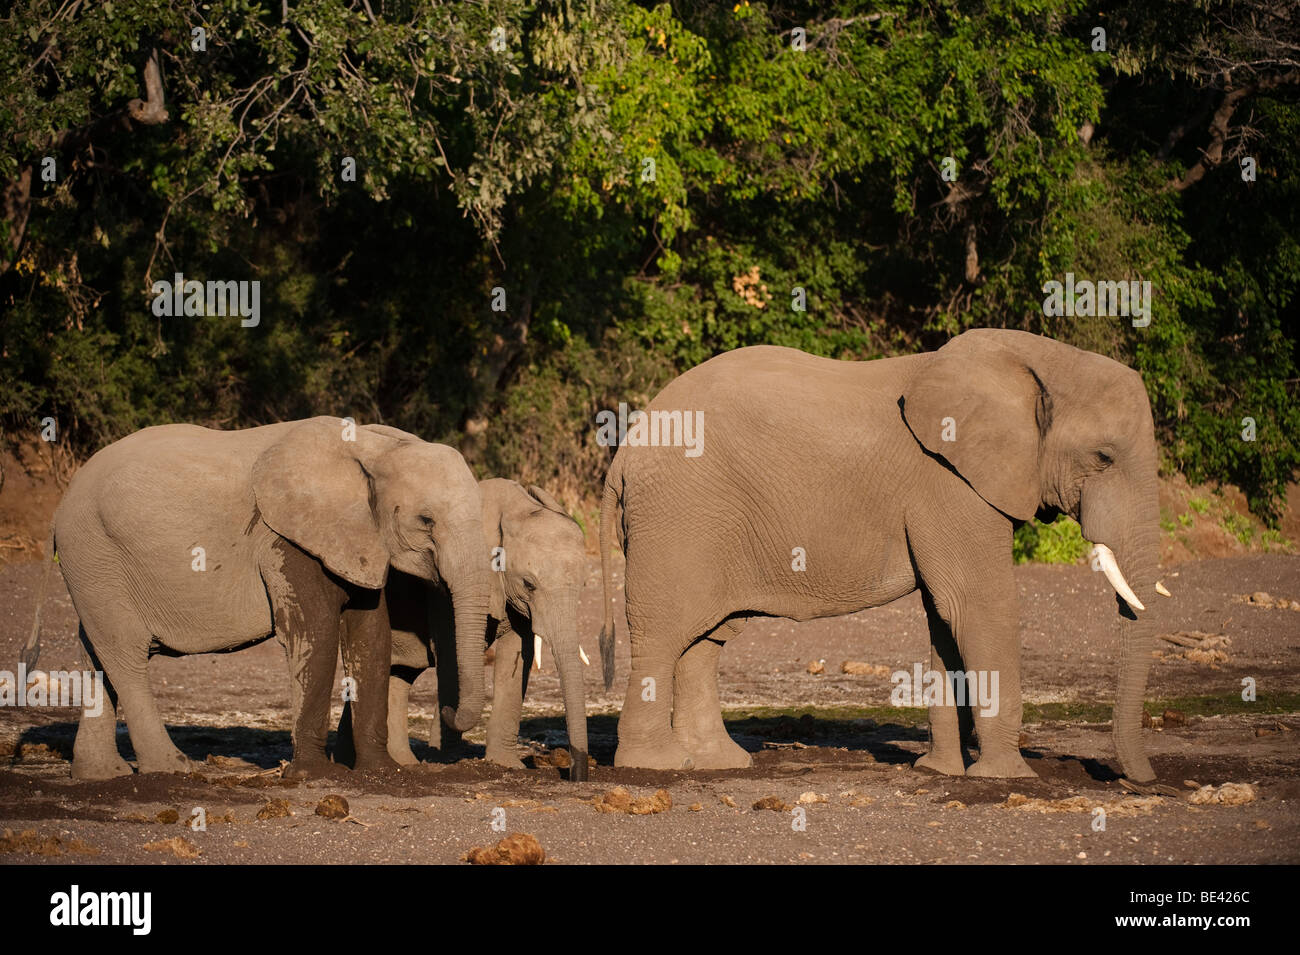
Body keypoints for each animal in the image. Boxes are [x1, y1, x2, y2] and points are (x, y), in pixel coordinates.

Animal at [44, 416, 492, 780]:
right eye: (426, 521)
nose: (450, 713)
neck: (372, 446)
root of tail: (64, 498)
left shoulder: (361, 538)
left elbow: (370, 635)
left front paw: (381, 771)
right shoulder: (285, 536)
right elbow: (317, 632)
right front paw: (315, 775)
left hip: (93, 565)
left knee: (97, 654)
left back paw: (102, 774)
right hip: (94, 554)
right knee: (126, 653)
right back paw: (171, 768)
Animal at [336, 479, 590, 780]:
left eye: (583, 585)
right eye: (529, 584)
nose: (575, 775)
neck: (511, 507)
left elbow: (517, 655)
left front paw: (506, 764)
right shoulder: (443, 588)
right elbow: (451, 651)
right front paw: (450, 762)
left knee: (398, 675)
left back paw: (402, 763)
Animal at [598, 328, 1167, 784]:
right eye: (1103, 457)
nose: (1138, 780)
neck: (1035, 360)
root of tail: (624, 451)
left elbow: (945, 617)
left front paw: (940, 771)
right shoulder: (950, 483)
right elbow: (980, 605)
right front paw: (1008, 777)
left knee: (707, 637)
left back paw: (719, 763)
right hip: (678, 518)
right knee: (664, 634)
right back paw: (658, 766)